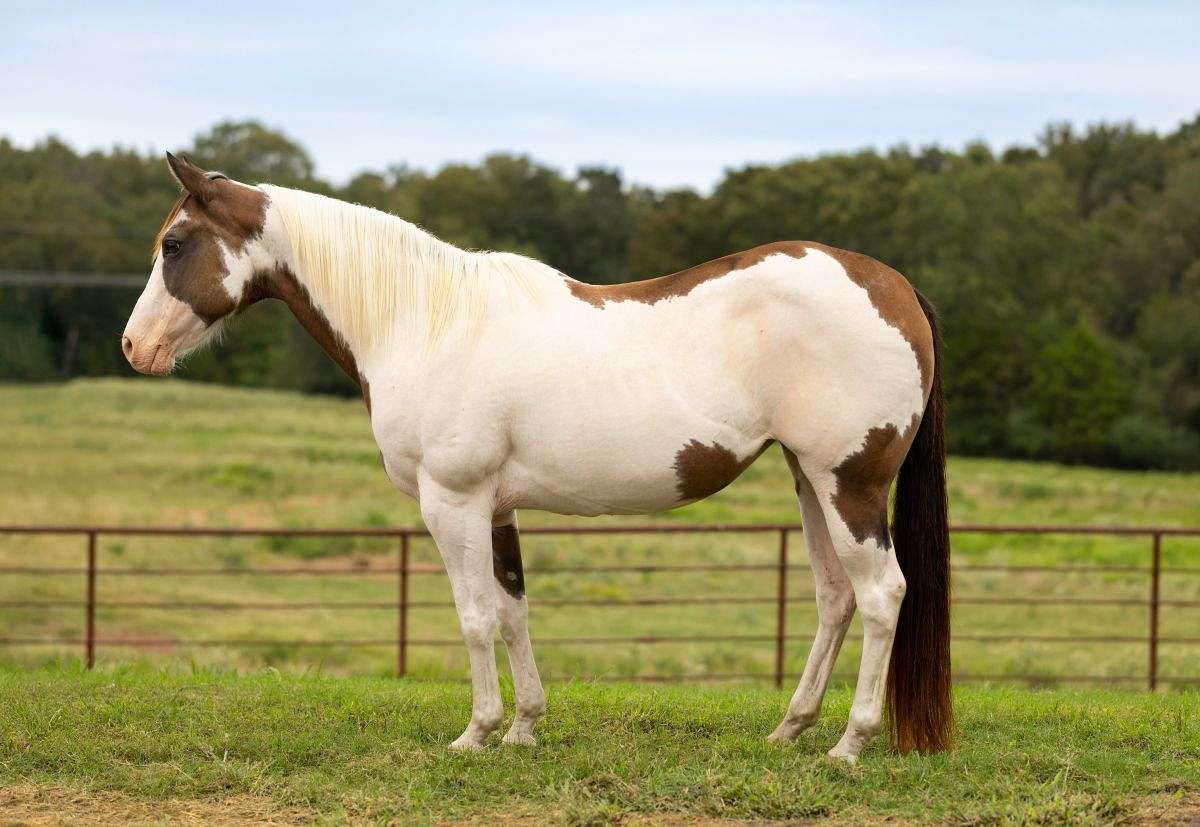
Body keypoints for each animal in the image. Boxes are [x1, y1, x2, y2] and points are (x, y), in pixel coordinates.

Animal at [122, 153, 952, 762]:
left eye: (174, 244)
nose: (134, 346)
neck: (422, 321)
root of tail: (896, 285)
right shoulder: (497, 507)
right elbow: (514, 610)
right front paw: (524, 726)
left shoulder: (451, 500)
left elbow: (474, 616)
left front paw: (476, 732)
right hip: (810, 480)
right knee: (835, 597)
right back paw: (790, 727)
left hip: (850, 484)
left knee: (882, 596)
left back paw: (849, 743)